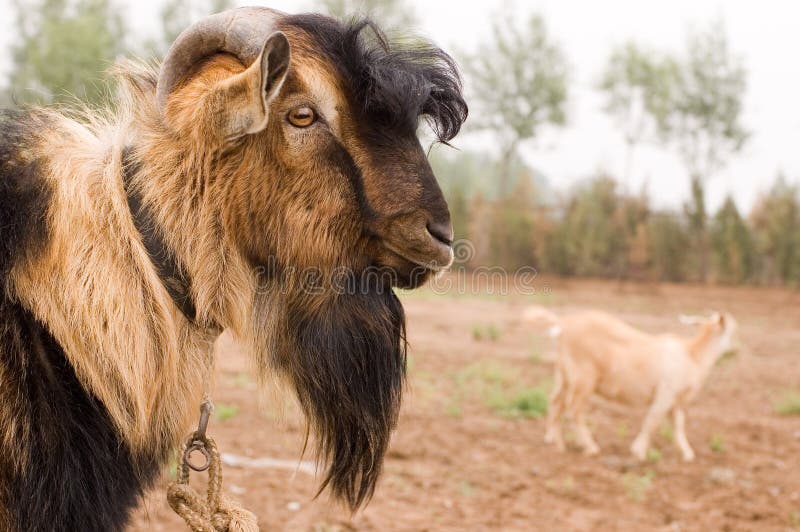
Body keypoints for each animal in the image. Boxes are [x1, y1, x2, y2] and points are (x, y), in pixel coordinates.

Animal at [524, 307, 738, 461]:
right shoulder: (665, 394)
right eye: (733, 330)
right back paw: (589, 448)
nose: (737, 350)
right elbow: (652, 421)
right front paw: (639, 452)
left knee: (555, 401)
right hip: (583, 377)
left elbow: (678, 426)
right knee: (574, 410)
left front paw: (687, 454)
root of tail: (563, 323)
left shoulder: (676, 401)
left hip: (564, 374)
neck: (693, 355)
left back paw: (554, 442)